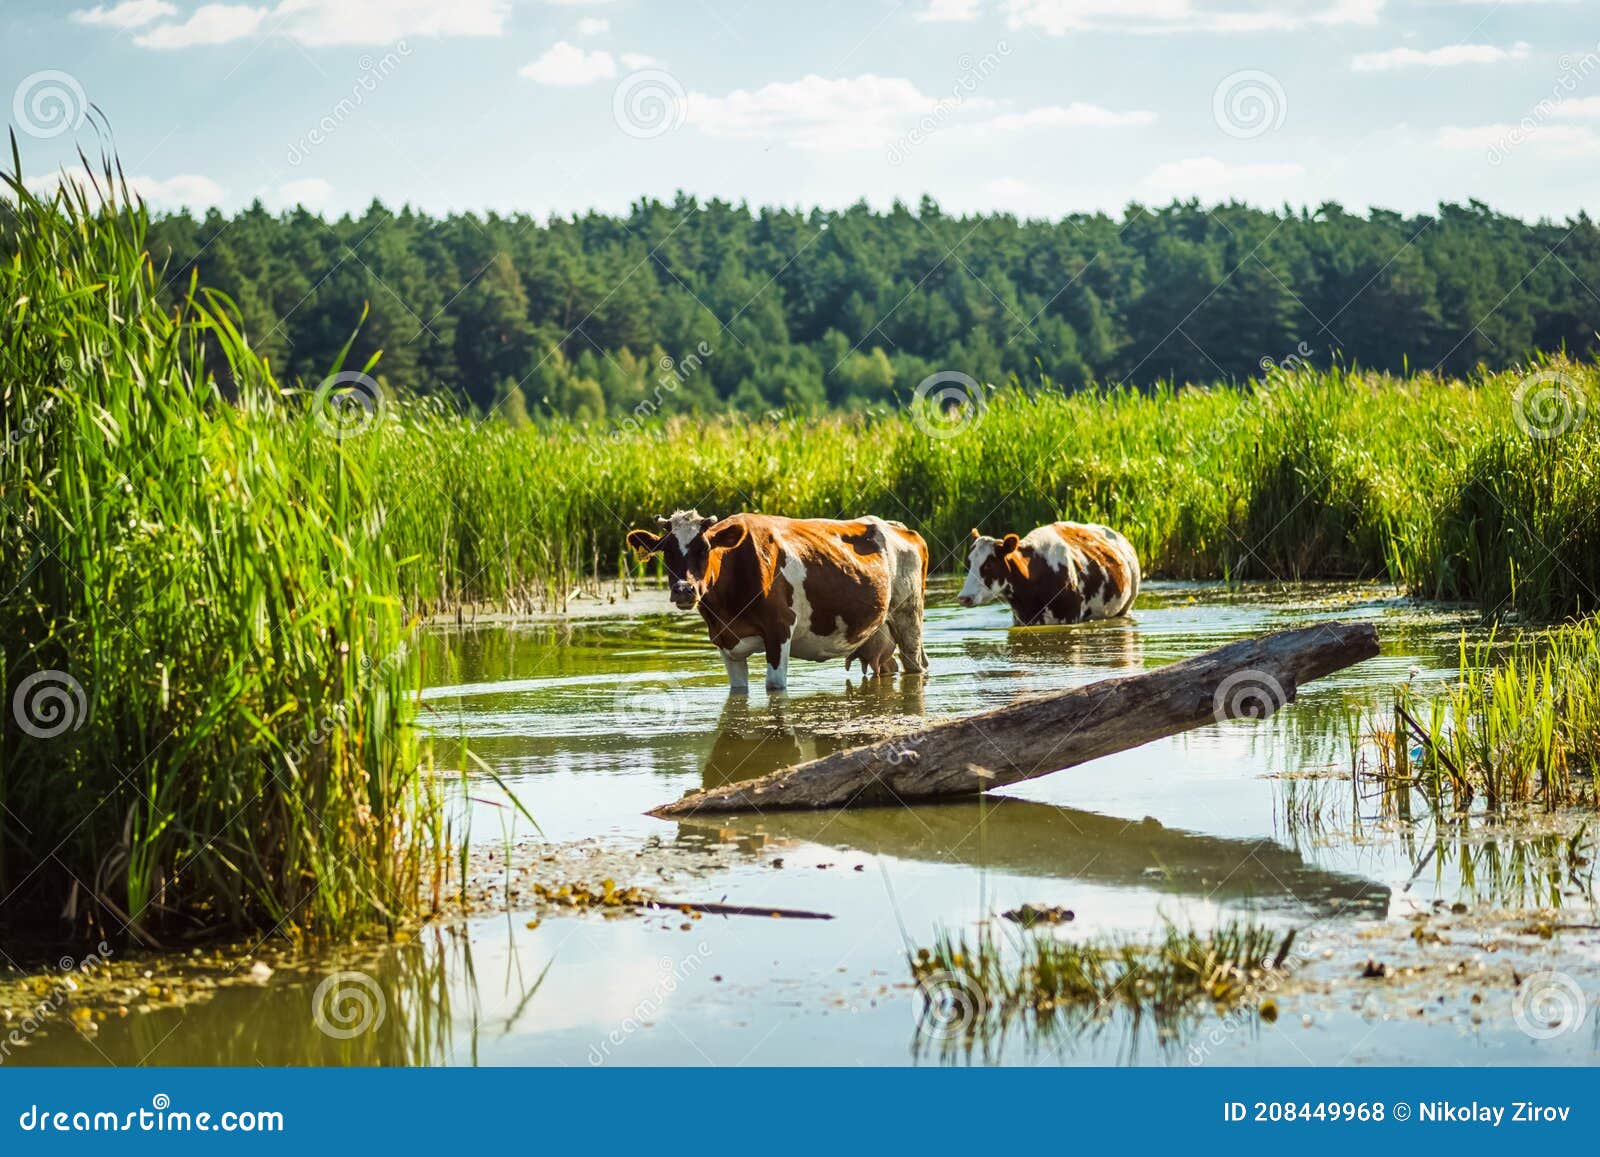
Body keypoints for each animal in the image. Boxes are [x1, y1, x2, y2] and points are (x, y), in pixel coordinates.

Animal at [626, 510, 929, 692]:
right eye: (666, 551)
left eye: (705, 548)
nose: (684, 589)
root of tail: (899, 527)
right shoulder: (725, 642)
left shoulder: (779, 631)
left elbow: (774, 687)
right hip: (879, 633)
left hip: (909, 616)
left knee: (916, 665)